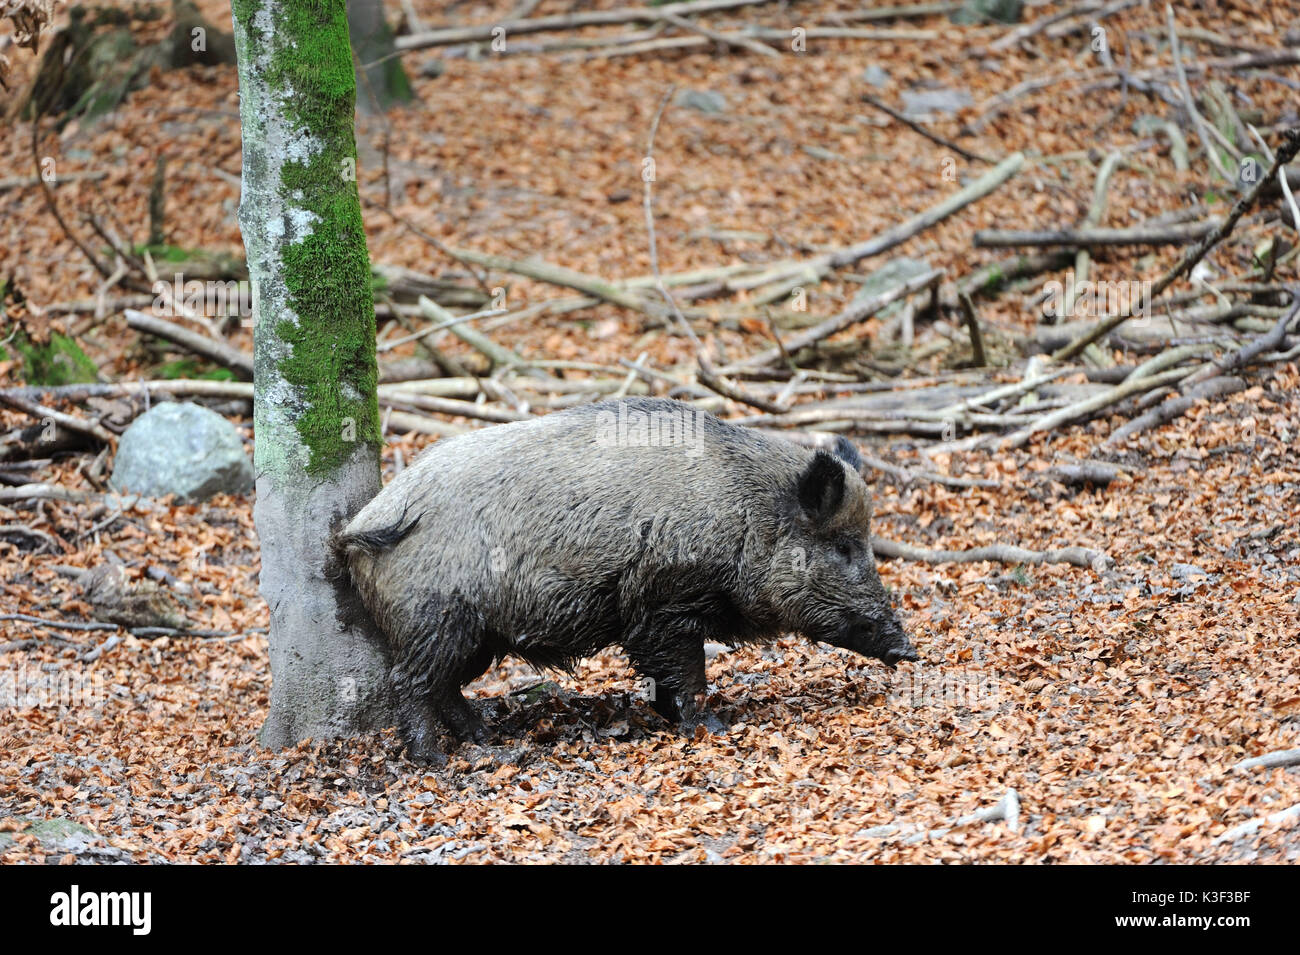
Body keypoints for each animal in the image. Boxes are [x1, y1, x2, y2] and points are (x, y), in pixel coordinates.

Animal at [336, 396, 916, 761]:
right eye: (843, 547)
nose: (908, 649)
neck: (746, 515)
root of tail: (369, 518)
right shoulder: (666, 604)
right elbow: (686, 672)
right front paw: (712, 728)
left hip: (474, 634)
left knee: (446, 687)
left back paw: (486, 738)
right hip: (438, 617)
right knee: (410, 683)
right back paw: (434, 760)